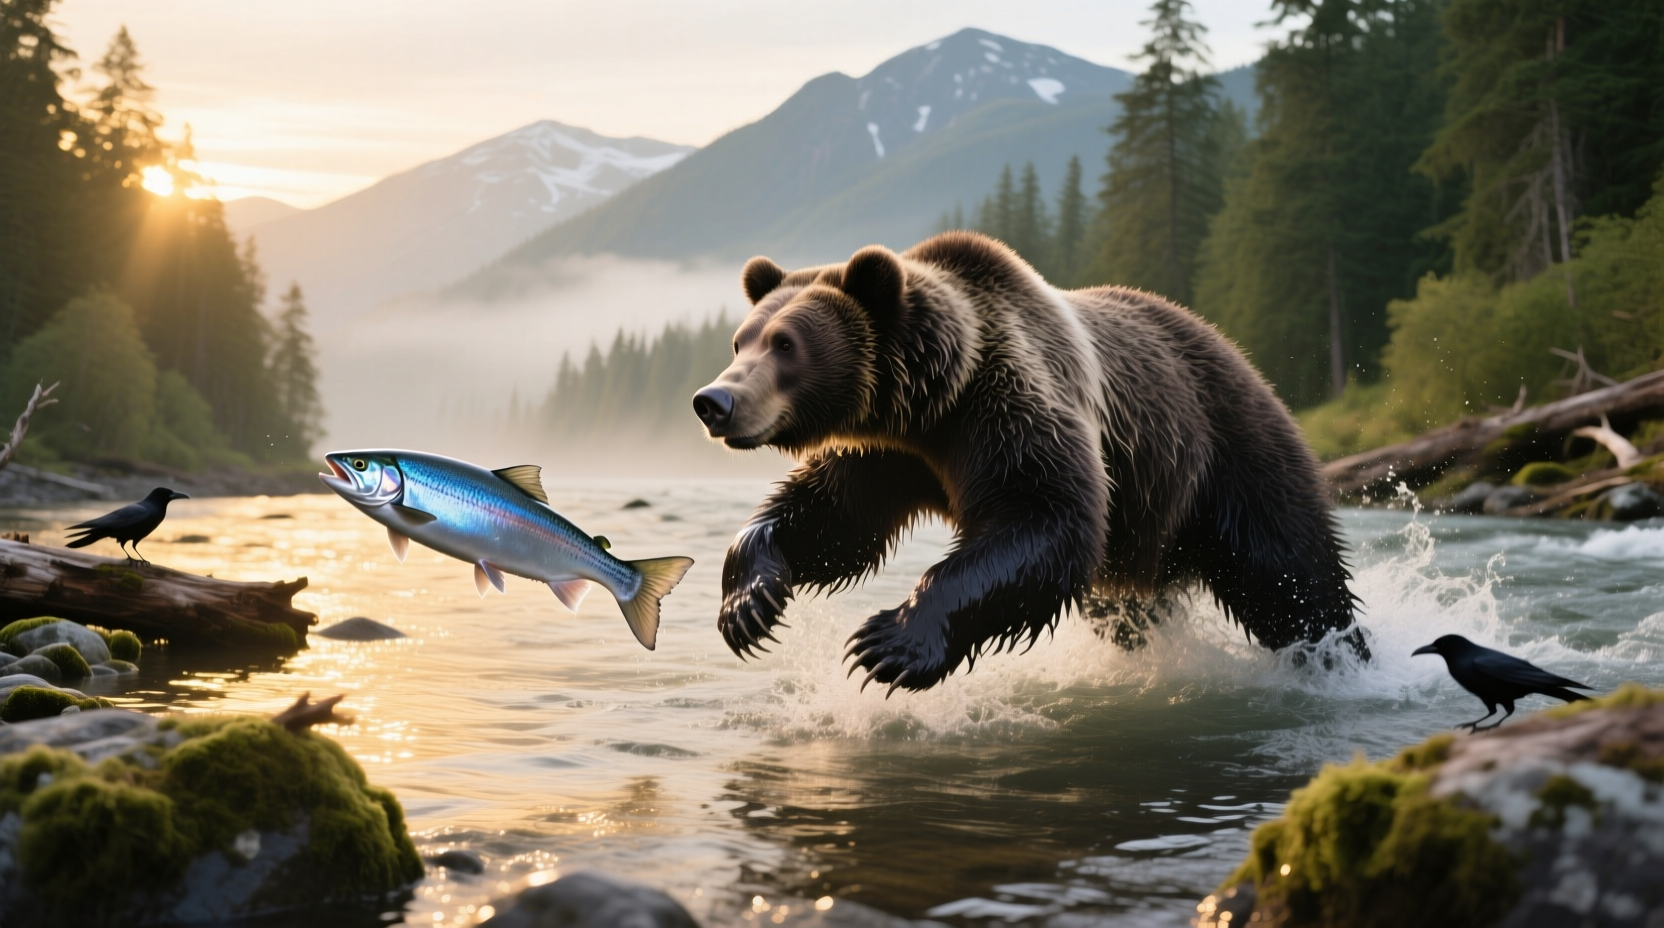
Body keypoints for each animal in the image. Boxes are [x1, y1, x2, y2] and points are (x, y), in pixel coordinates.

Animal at [691, 231, 1365, 693]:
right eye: (741, 340)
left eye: (786, 344)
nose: (714, 401)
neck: (933, 404)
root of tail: (1239, 354)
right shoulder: (887, 453)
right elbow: (832, 517)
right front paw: (748, 603)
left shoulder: (1009, 402)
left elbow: (1042, 513)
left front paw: (889, 641)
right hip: (1151, 528)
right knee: (1132, 607)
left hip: (1229, 451)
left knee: (1291, 576)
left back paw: (1340, 654)